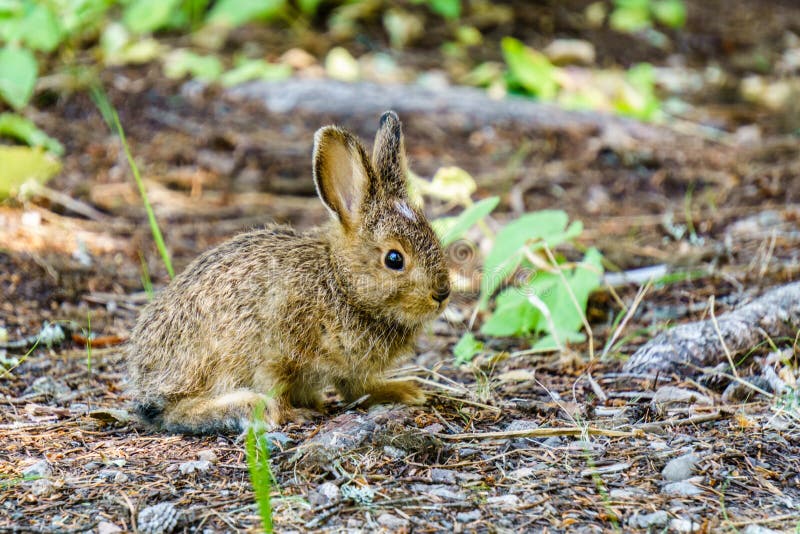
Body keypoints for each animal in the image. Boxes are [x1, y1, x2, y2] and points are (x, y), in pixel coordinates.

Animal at [126, 111, 451, 434]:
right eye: (394, 259)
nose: (442, 293)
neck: (340, 282)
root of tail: (143, 379)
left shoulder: (351, 369)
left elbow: (356, 389)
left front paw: (404, 391)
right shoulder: (274, 348)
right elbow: (276, 386)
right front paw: (292, 415)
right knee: (175, 411)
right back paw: (244, 405)